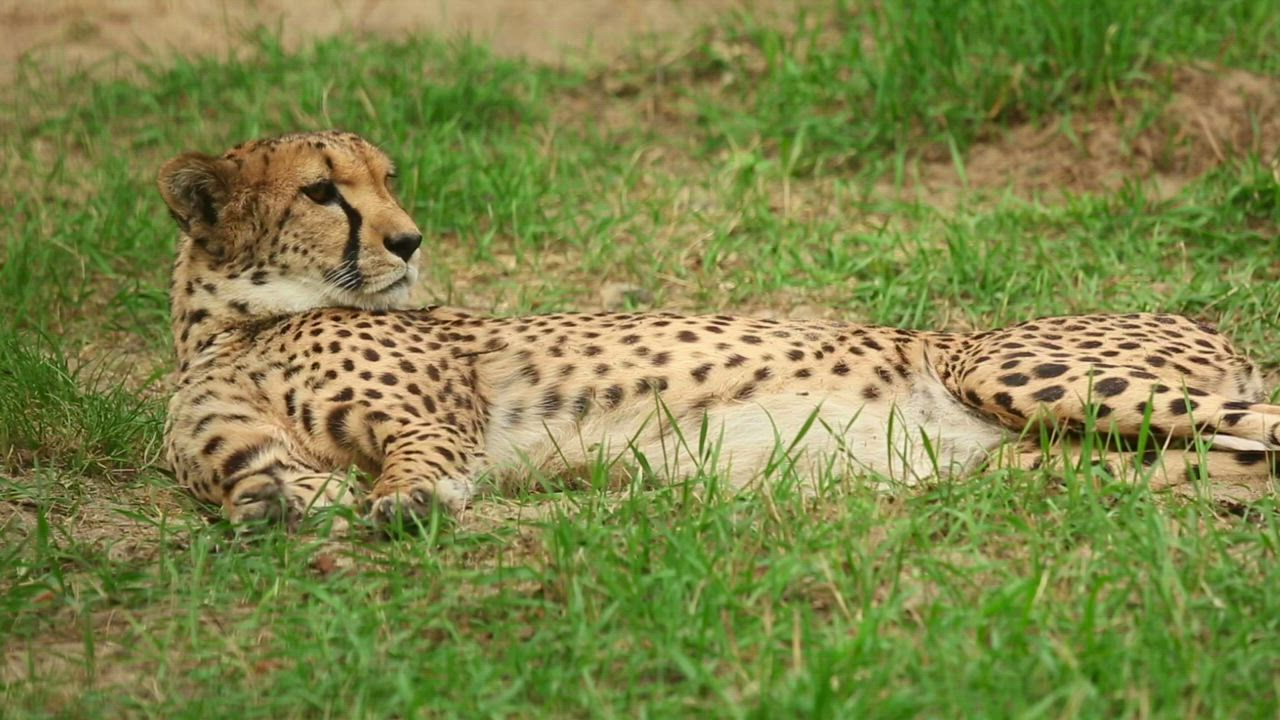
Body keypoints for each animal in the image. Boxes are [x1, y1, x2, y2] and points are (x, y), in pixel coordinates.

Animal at [157, 130, 1279, 529]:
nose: (408, 239)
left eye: (388, 180)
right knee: (1223, 461)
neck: (232, 325)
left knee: (1258, 424)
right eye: (321, 191)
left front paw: (402, 502)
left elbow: (420, 460)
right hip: (1052, 456)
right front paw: (286, 506)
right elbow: (260, 487)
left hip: (1016, 371)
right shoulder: (235, 448)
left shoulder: (445, 417)